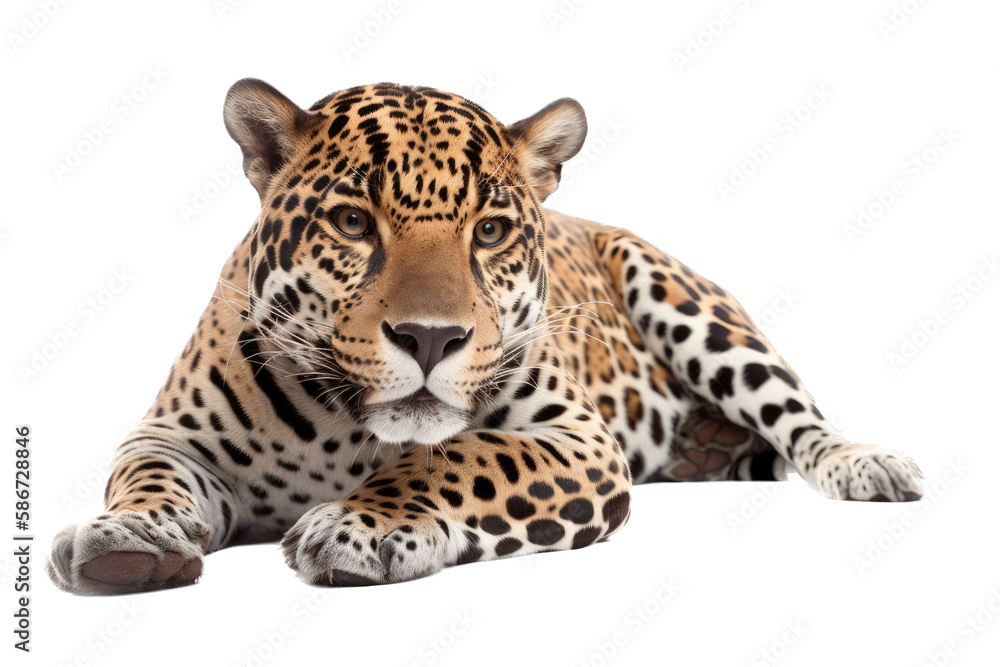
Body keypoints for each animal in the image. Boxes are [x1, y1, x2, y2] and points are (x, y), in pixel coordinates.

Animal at [47, 79, 925, 594]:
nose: (429, 339)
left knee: (799, 417)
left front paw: (361, 523)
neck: (344, 428)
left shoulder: (576, 437)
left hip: (693, 303)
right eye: (353, 222)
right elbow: (146, 479)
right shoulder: (169, 435)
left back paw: (866, 464)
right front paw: (127, 535)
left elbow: (464, 455)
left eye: (492, 230)